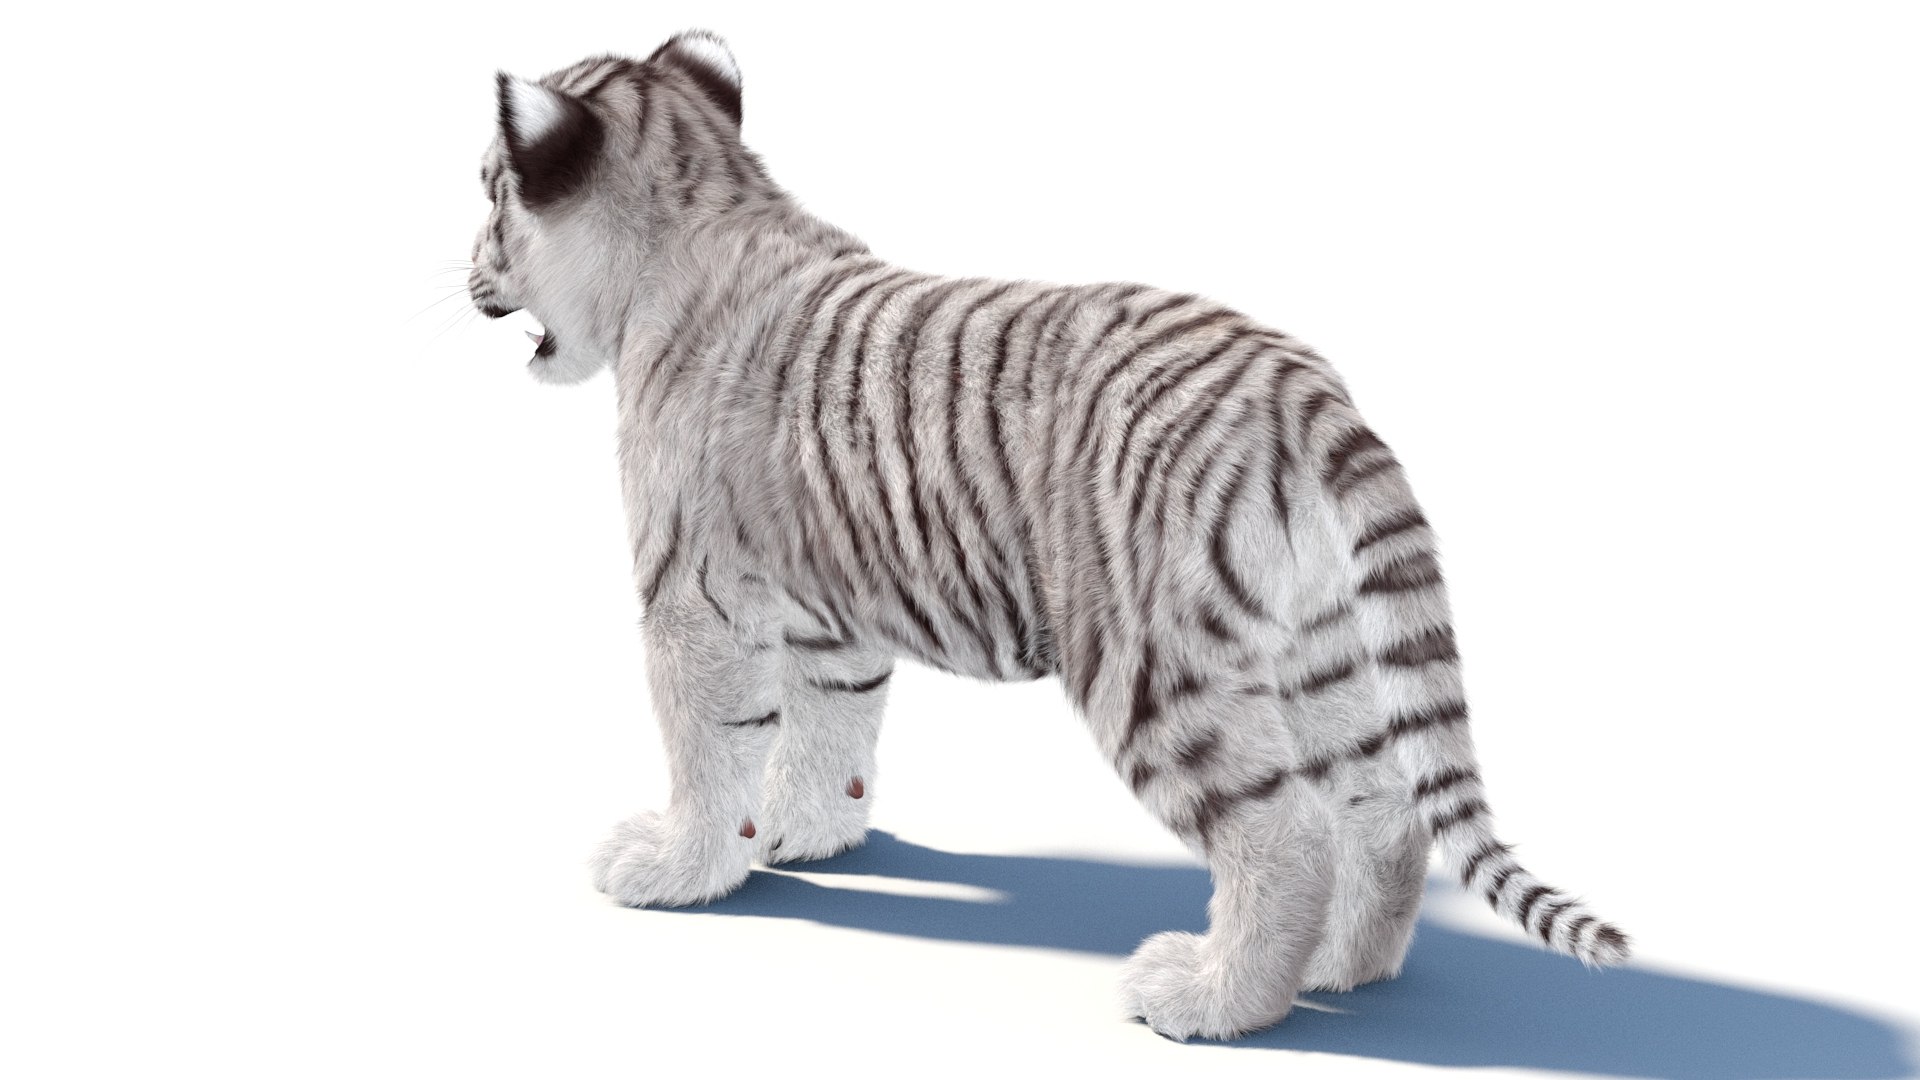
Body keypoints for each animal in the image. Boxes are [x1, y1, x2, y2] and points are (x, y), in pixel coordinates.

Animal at [463, 30, 1629, 1041]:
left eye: (488, 191)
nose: (468, 264)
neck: (697, 211)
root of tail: (1300, 393)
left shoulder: (694, 594)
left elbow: (706, 743)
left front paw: (672, 870)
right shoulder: (832, 609)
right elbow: (830, 728)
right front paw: (807, 836)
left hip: (1151, 666)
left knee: (1283, 833)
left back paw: (1210, 1000)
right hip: (1323, 651)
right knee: (1384, 810)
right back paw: (1343, 968)